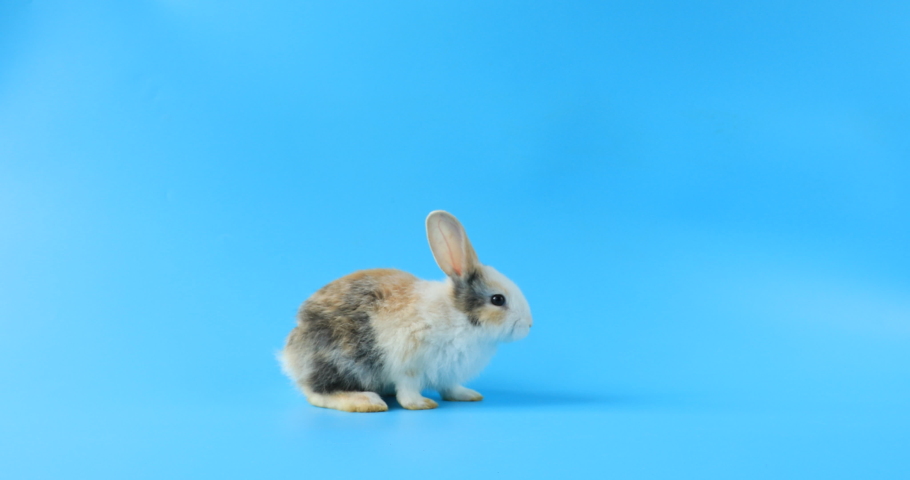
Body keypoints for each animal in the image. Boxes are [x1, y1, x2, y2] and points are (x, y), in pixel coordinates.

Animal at [280, 210, 532, 412]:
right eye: (498, 299)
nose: (529, 325)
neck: (458, 315)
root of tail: (290, 356)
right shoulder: (409, 365)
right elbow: (408, 390)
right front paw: (421, 404)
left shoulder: (447, 373)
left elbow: (449, 388)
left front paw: (468, 395)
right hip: (342, 360)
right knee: (318, 392)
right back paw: (366, 401)